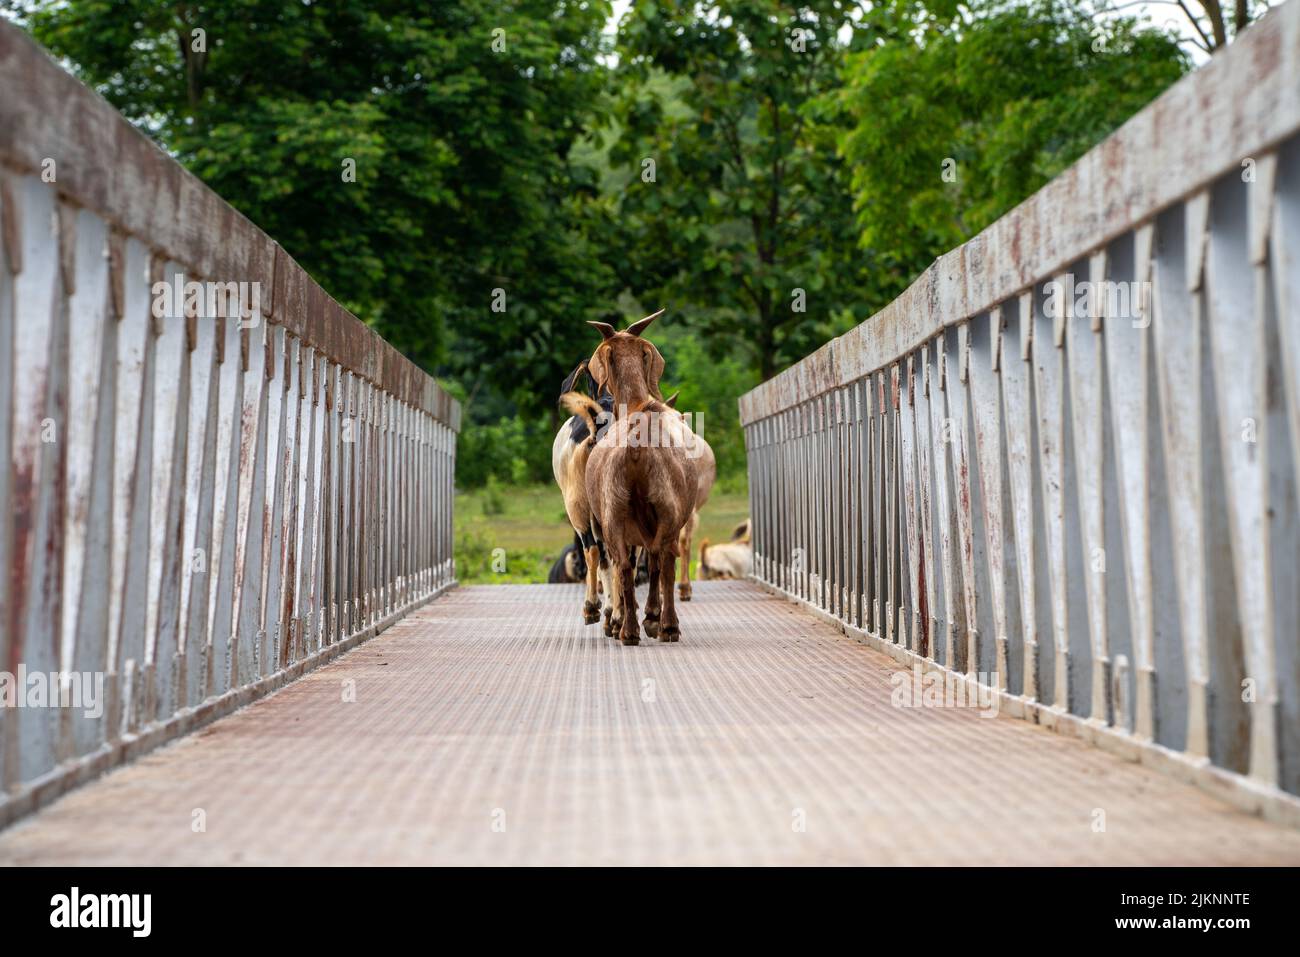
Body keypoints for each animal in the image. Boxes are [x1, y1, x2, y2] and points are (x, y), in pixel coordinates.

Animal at [583, 310, 699, 644]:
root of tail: (636, 449)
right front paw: (653, 617)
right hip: (663, 509)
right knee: (659, 560)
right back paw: (661, 625)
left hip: (615, 511)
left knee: (627, 564)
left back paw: (631, 629)